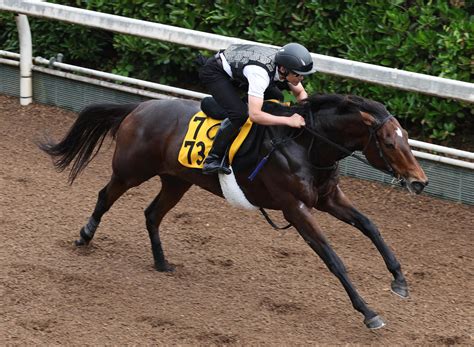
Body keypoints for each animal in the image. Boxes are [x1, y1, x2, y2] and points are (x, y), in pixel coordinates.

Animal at [39, 94, 428, 330]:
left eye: (407, 138)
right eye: (390, 142)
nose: (420, 182)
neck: (306, 145)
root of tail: (138, 108)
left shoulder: (328, 198)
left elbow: (370, 226)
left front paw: (399, 280)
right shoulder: (296, 208)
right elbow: (334, 259)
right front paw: (369, 313)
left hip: (176, 180)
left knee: (152, 214)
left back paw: (162, 262)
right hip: (131, 171)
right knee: (105, 196)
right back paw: (85, 235)